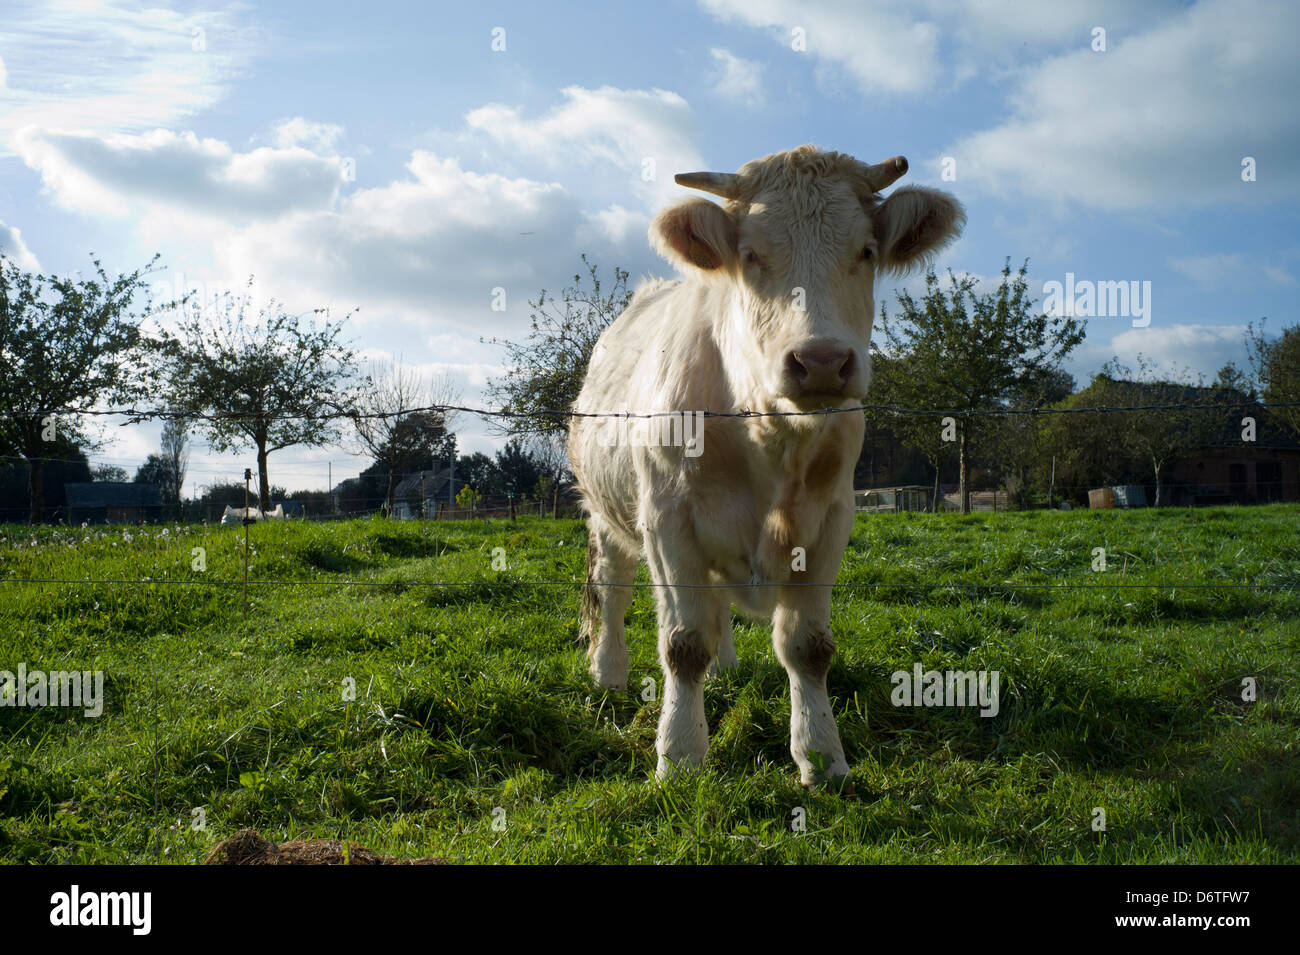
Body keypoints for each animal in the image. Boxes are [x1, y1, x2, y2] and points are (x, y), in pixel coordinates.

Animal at [567, 145, 964, 788]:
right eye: (750, 255)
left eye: (866, 250)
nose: (821, 361)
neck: (768, 434)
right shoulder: (669, 520)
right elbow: (683, 643)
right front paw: (680, 756)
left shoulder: (830, 518)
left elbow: (808, 646)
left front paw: (823, 758)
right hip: (606, 514)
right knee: (614, 590)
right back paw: (608, 673)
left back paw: (726, 667)